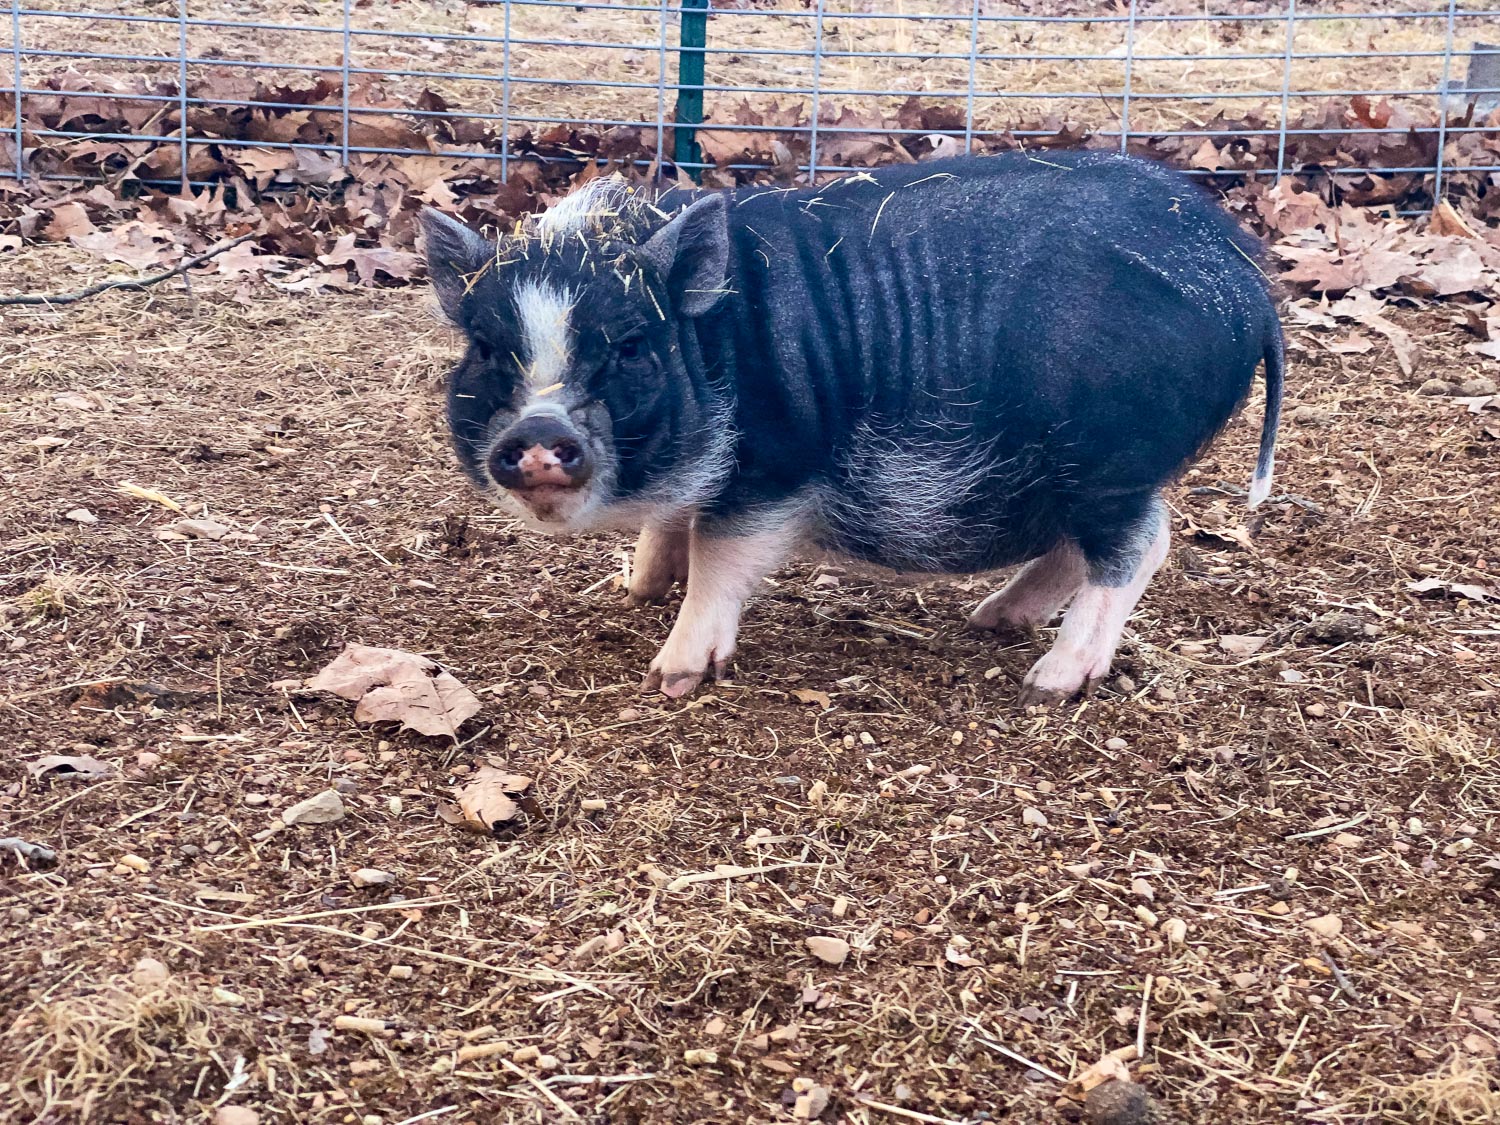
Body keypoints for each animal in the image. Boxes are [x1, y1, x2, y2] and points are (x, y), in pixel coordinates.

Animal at [421, 152, 1284, 704]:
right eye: (487, 349)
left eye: (631, 346)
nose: (535, 433)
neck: (720, 349)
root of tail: (1246, 278)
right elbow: (672, 526)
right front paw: (633, 588)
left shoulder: (776, 465)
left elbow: (720, 555)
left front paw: (668, 677)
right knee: (1083, 548)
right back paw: (989, 619)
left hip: (1109, 459)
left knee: (1143, 544)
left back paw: (1047, 682)